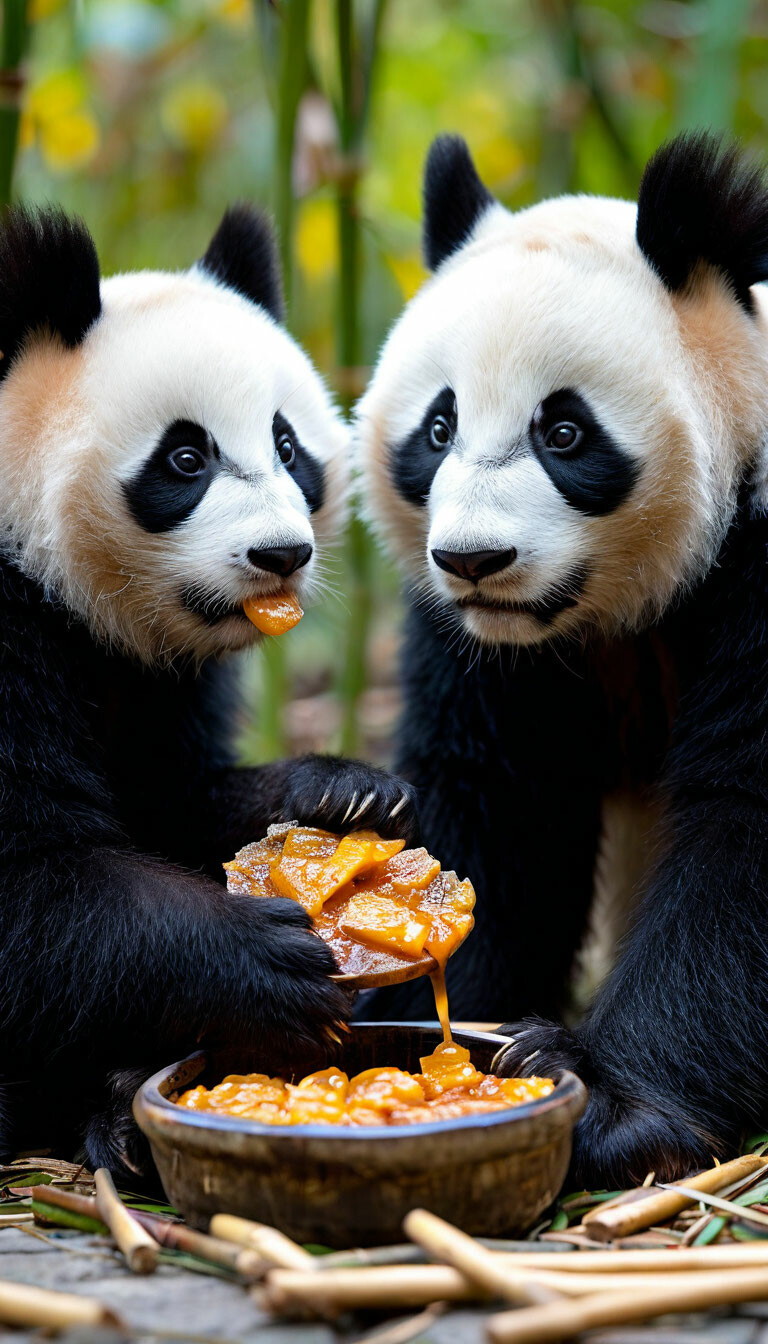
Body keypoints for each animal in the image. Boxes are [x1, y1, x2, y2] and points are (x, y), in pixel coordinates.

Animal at [0, 203, 416, 1176]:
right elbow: (30, 879)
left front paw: (343, 791)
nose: (281, 555)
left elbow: (176, 799)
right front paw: (260, 962)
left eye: (289, 446)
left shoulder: (163, 676)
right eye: (185, 458)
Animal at [356, 131, 768, 1186]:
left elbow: (745, 832)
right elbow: (496, 806)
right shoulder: (487, 652)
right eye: (439, 427)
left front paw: (609, 1100)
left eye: (566, 431)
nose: (474, 560)